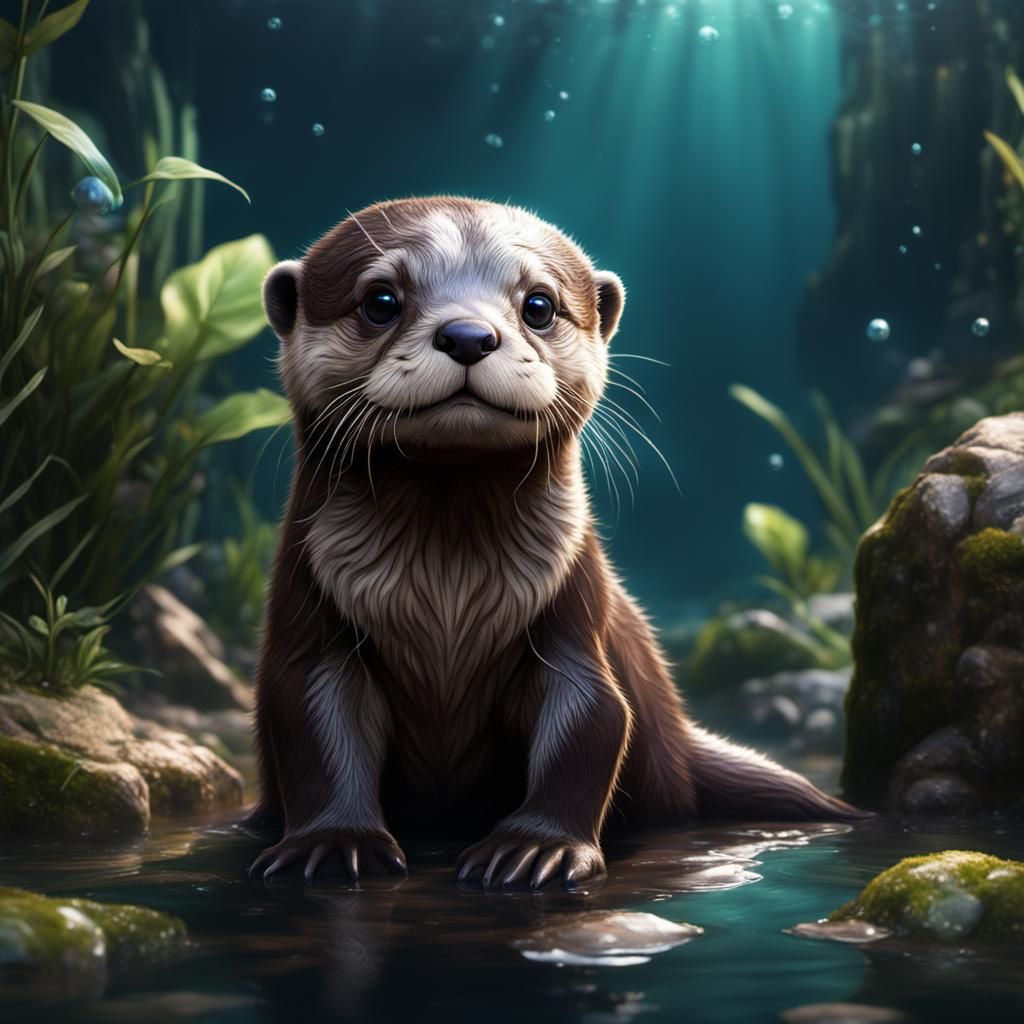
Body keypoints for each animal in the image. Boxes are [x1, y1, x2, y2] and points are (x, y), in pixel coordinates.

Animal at [249, 196, 859, 890]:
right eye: (380, 300)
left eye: (538, 304)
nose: (468, 335)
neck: (445, 592)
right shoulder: (310, 605)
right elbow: (312, 720)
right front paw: (332, 842)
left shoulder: (573, 607)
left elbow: (590, 718)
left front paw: (536, 849)